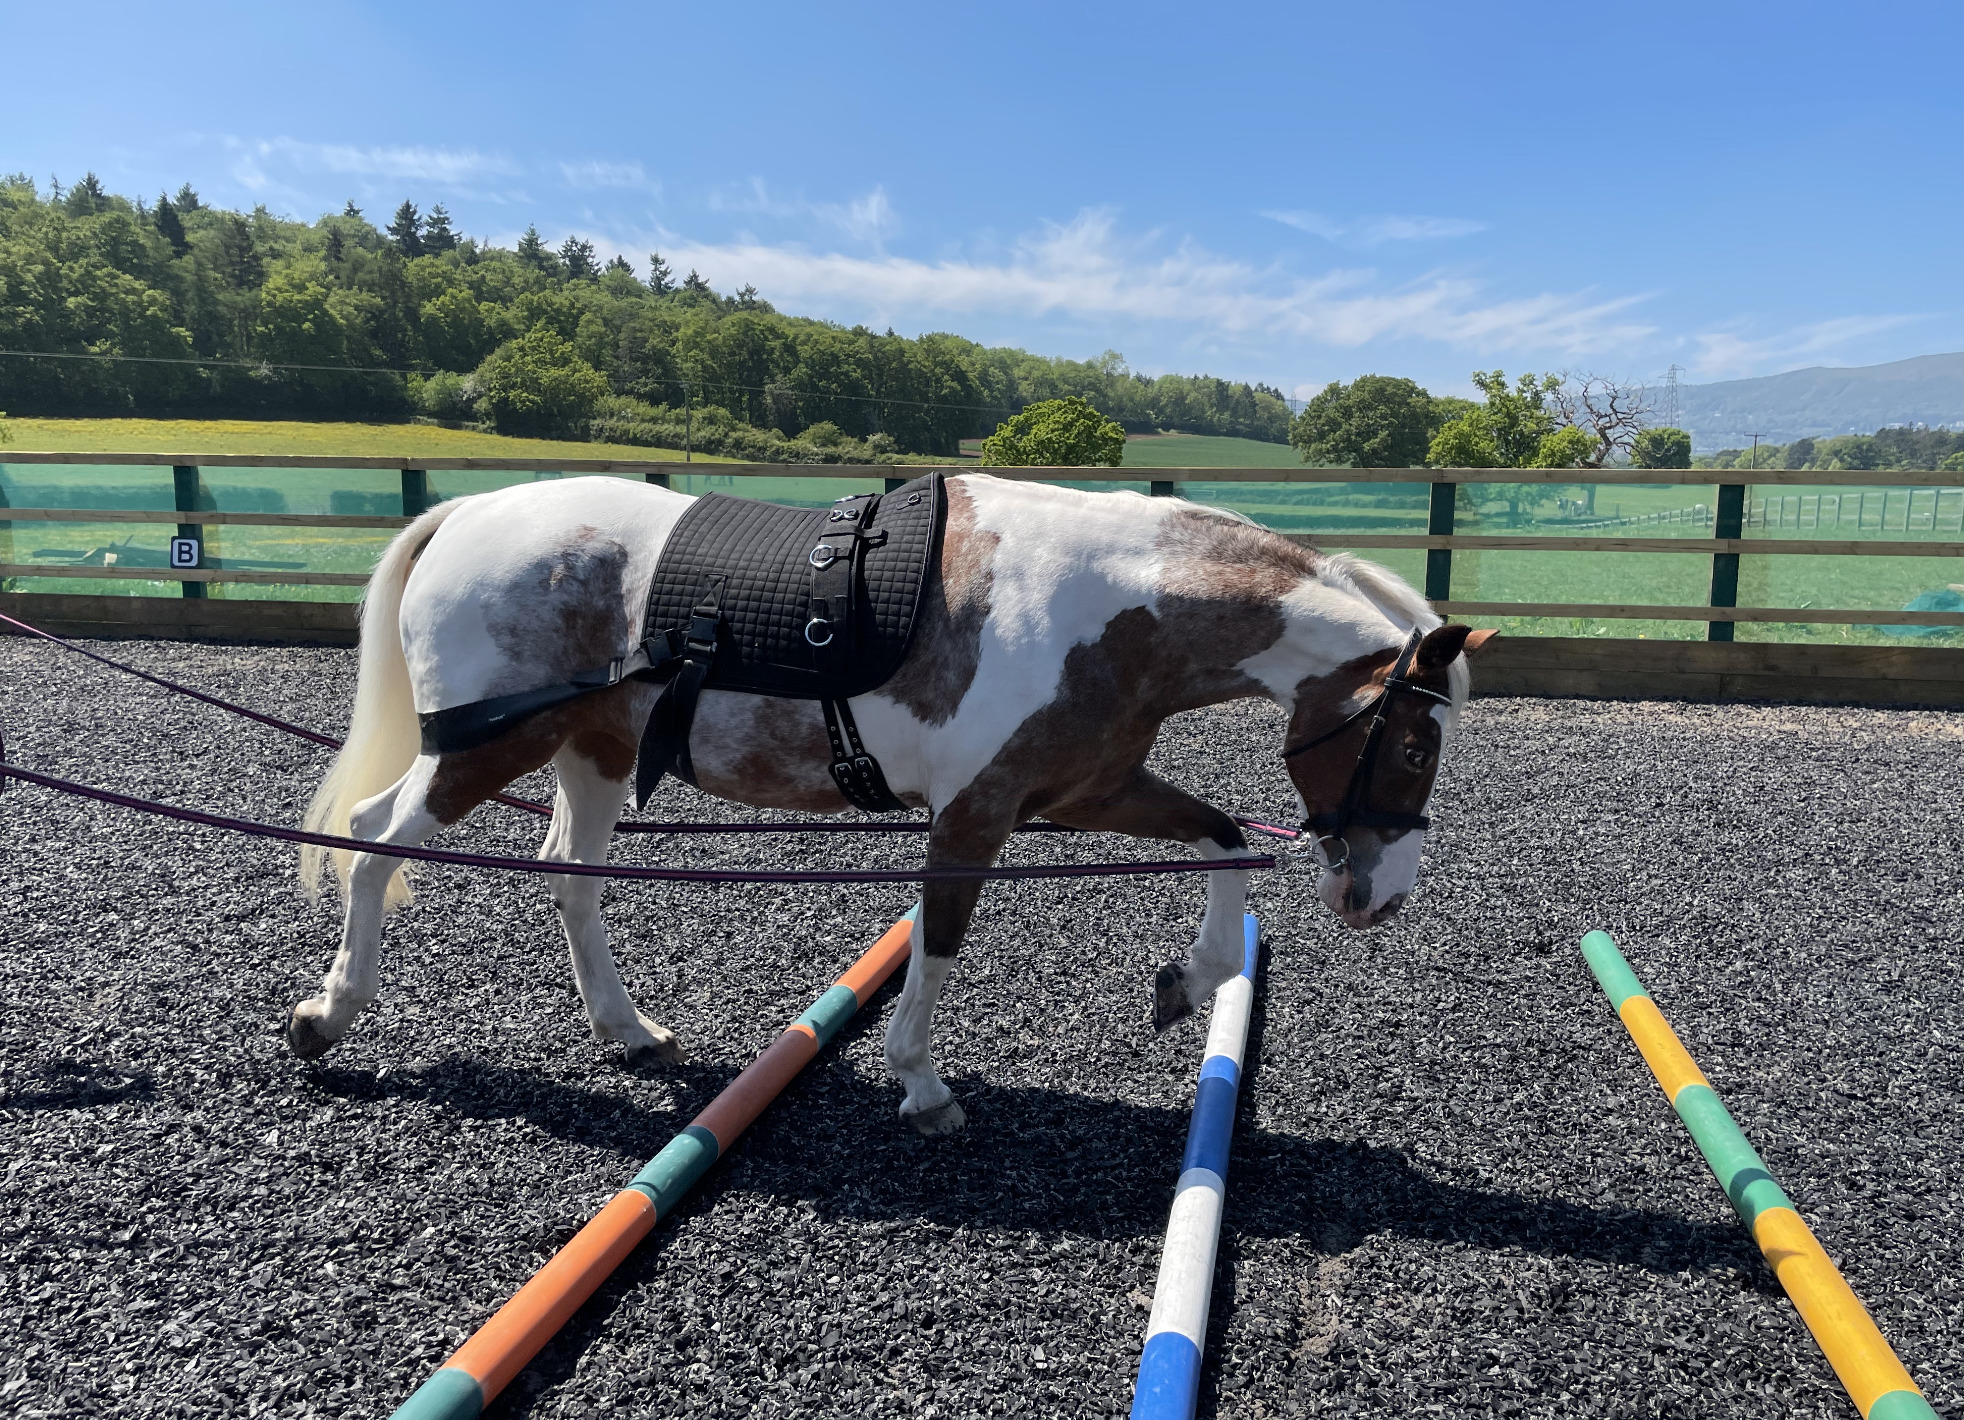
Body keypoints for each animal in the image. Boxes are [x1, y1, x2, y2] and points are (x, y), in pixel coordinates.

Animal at [291, 473, 1495, 1136]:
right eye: (1416, 741)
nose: (1384, 894)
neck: (1107, 608)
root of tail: (467, 516)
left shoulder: (1087, 790)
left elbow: (1226, 842)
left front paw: (1186, 980)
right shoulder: (974, 814)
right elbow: (940, 942)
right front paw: (919, 1082)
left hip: (586, 753)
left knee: (570, 885)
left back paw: (626, 1029)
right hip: (483, 749)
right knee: (372, 846)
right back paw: (332, 1010)